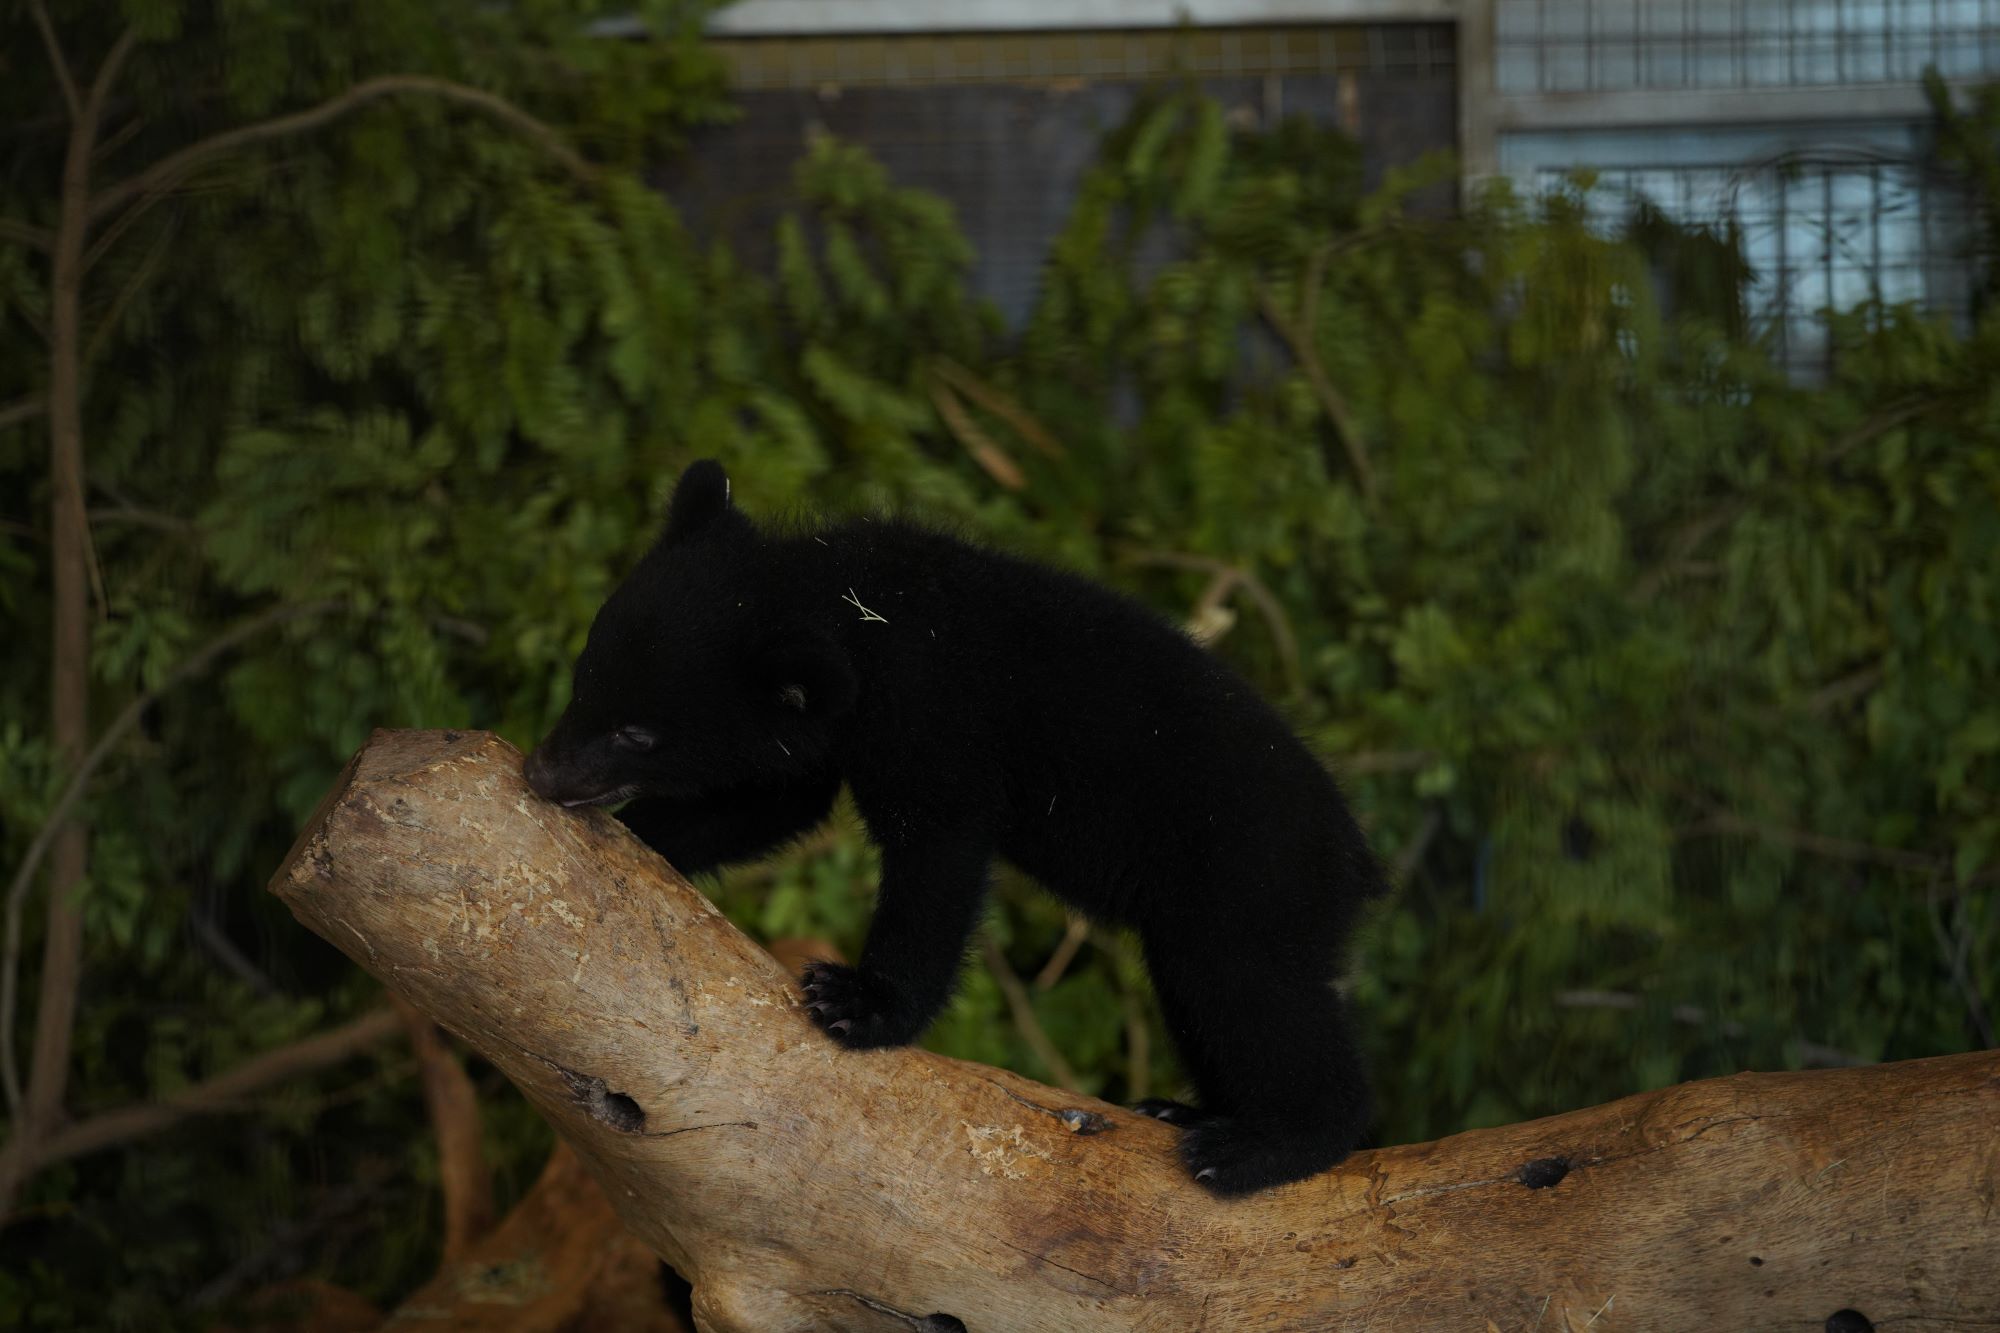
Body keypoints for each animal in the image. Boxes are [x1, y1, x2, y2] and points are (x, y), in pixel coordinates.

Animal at [523, 460, 1387, 1195]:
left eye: (639, 733)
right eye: (585, 675)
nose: (540, 771)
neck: (851, 606)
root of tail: (1355, 858)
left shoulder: (935, 720)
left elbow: (936, 860)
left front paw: (858, 1004)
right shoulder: (818, 730)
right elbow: (774, 803)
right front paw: (641, 844)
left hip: (1245, 890)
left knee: (1260, 1003)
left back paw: (1253, 1149)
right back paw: (1189, 1111)